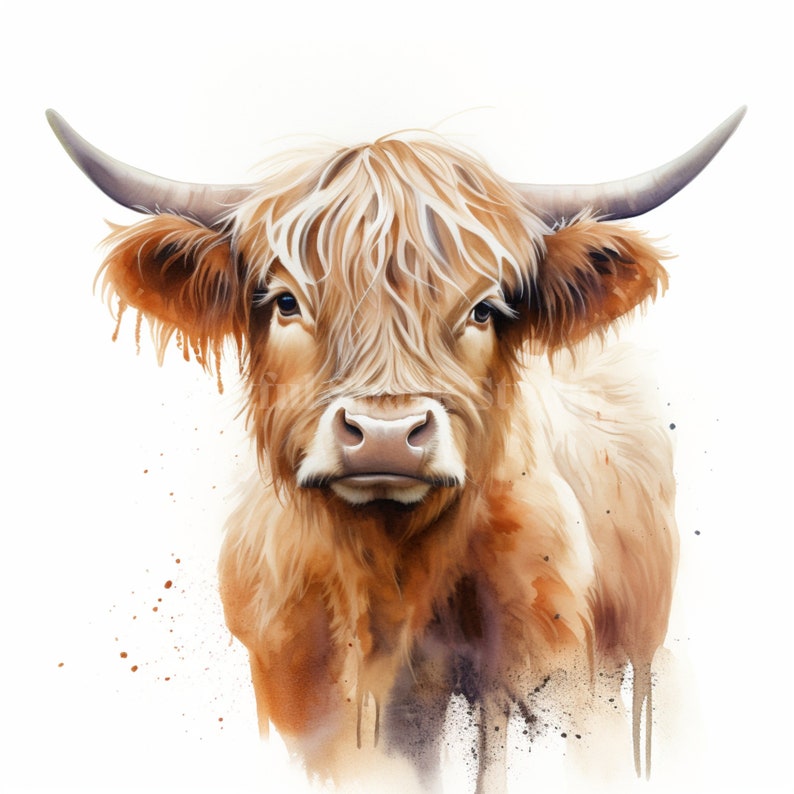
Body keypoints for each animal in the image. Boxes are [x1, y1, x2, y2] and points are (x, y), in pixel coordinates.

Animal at [48, 107, 743, 792]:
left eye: (485, 310)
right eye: (286, 301)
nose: (386, 435)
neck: (390, 575)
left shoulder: (550, 670)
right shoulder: (301, 693)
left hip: (640, 652)